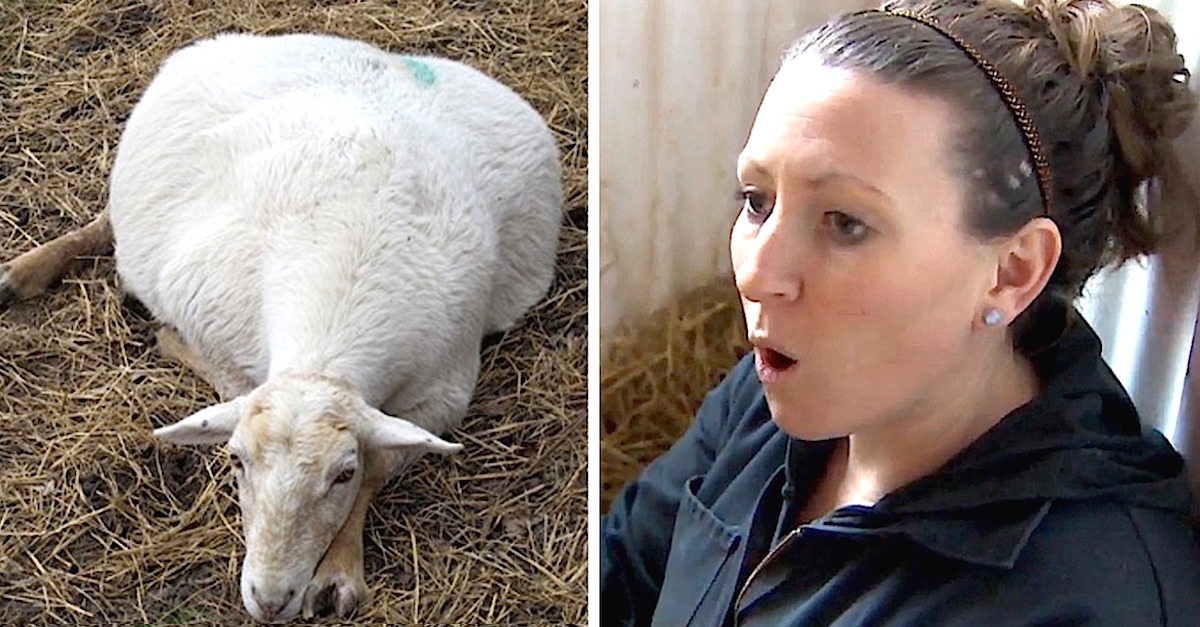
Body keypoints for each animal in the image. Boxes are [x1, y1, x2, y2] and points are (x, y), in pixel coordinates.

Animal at [0, 32, 562, 623]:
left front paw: (338, 570)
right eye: (236, 462)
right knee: (106, 221)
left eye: (341, 474)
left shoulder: (445, 392)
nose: (269, 599)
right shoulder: (210, 320)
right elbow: (228, 380)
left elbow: (380, 463)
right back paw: (24, 272)